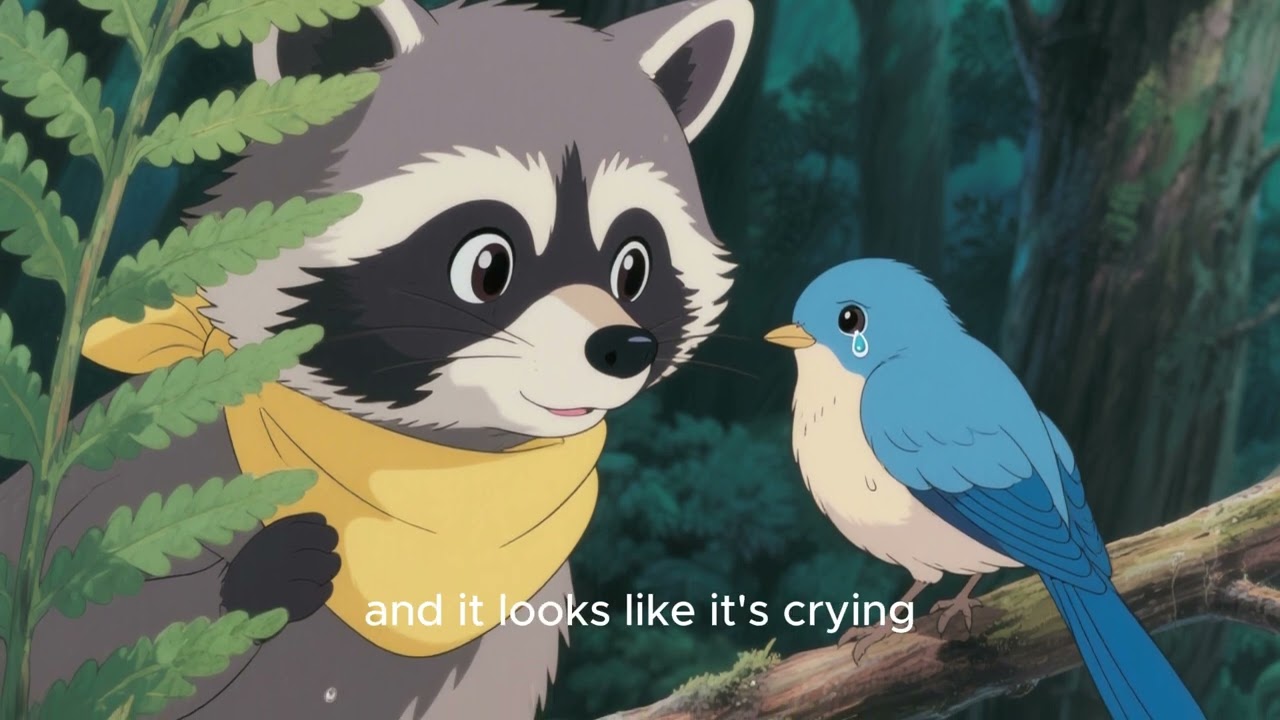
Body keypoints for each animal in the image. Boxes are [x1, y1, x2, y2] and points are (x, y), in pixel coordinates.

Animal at [0, 1, 752, 717]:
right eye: (488, 266)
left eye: (633, 266)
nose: (623, 348)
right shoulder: (122, 497)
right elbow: (97, 643)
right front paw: (254, 581)